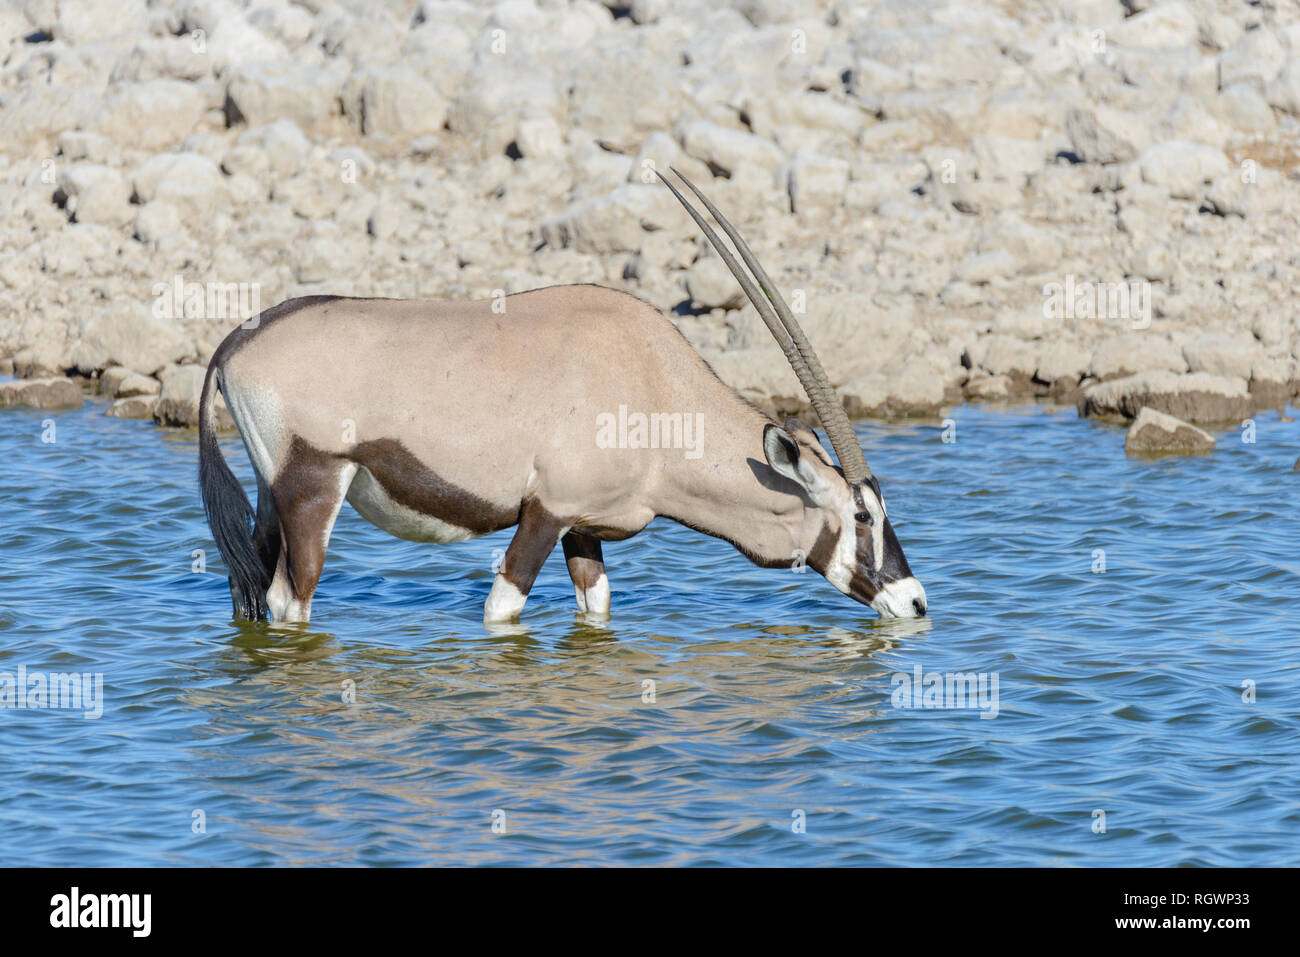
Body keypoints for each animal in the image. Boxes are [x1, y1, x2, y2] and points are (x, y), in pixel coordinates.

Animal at [199, 169, 928, 625]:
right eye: (861, 515)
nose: (916, 601)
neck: (654, 389)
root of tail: (234, 343)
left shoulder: (585, 525)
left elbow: (597, 607)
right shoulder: (544, 513)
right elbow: (502, 607)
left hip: (272, 492)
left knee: (251, 590)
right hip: (313, 485)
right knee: (291, 600)